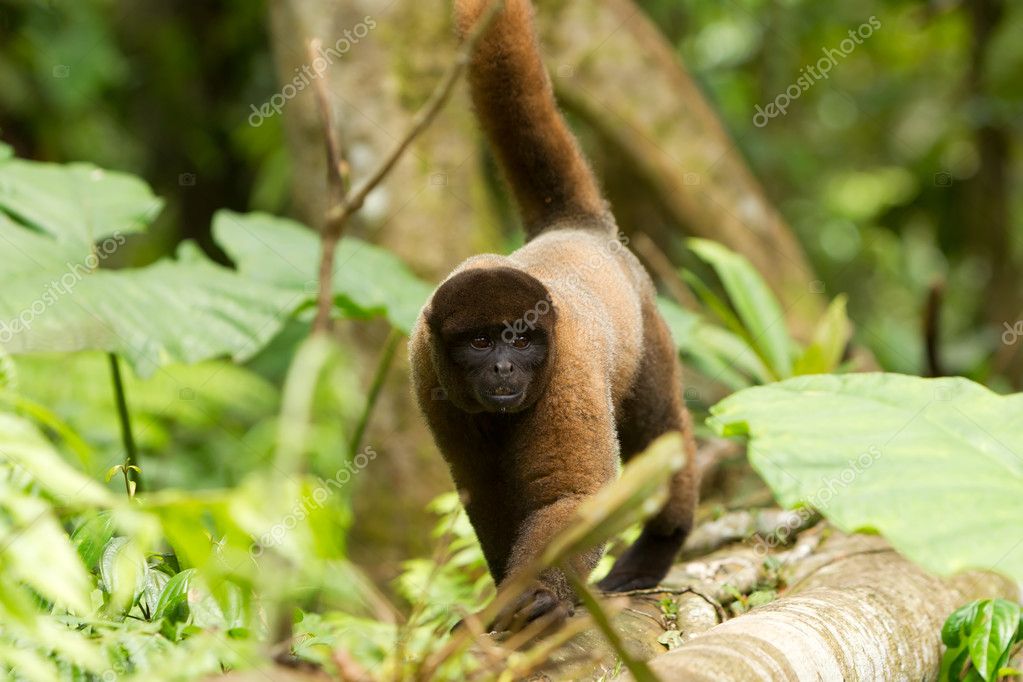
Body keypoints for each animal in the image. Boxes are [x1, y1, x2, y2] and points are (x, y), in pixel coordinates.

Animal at [408, 0, 697, 631]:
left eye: (520, 342)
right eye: (480, 343)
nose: (503, 369)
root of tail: (579, 228)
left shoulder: (568, 370)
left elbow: (573, 499)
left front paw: (537, 594)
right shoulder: (425, 374)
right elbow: (484, 496)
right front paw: (503, 597)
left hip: (648, 322)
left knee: (659, 425)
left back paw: (658, 547)